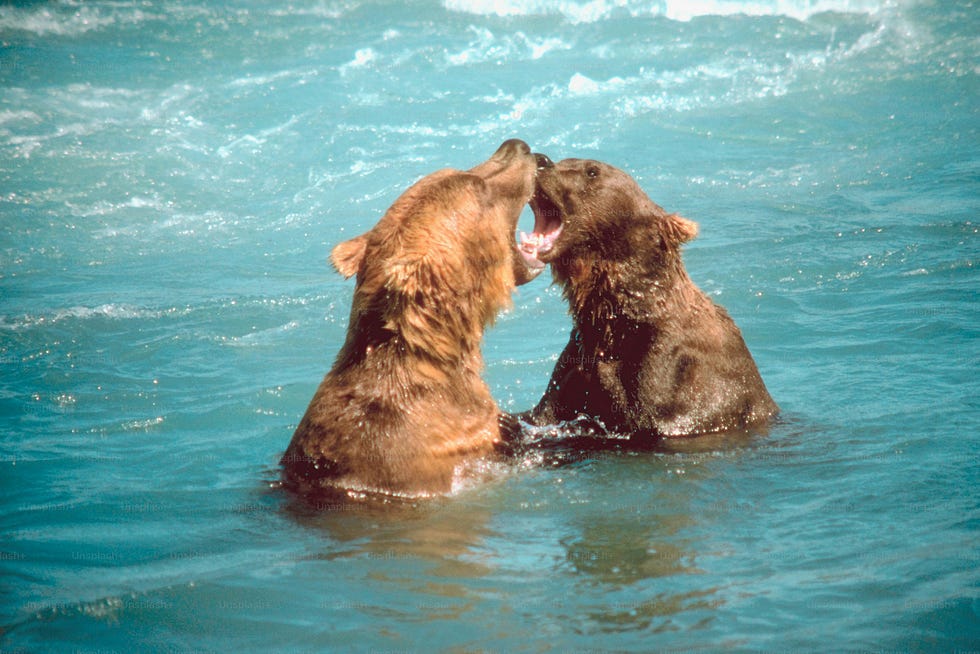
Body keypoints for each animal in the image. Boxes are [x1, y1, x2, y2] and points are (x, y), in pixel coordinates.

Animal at [519, 154, 778, 439]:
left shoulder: (678, 365)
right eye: (564, 159)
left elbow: (650, 415)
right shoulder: (577, 351)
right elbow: (542, 412)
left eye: (592, 171)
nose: (541, 159)